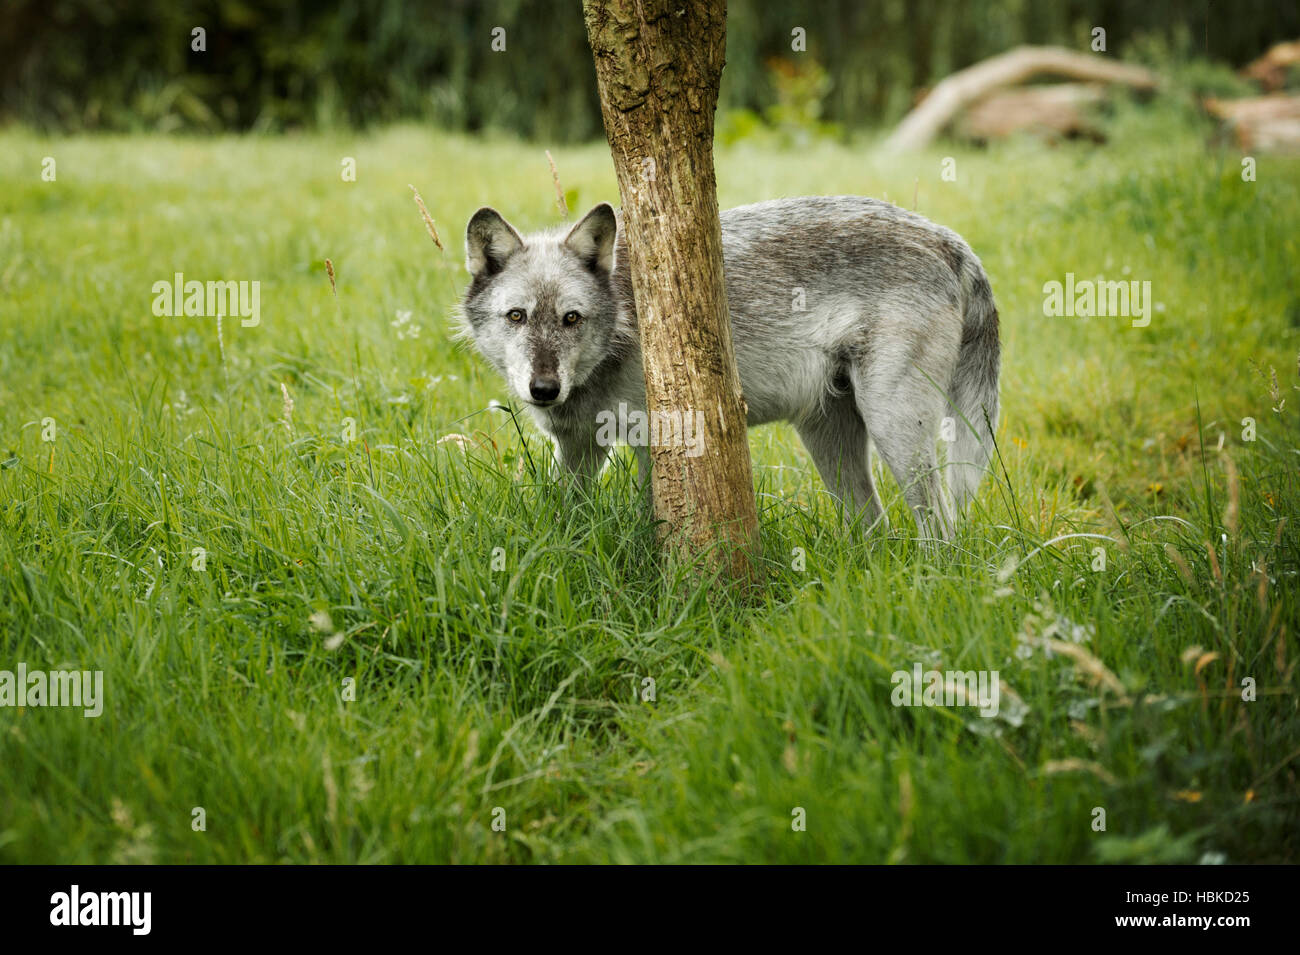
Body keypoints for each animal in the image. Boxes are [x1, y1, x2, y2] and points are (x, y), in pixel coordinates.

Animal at [459, 196, 1000, 540]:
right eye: (517, 316)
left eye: (571, 318)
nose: (544, 389)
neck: (627, 319)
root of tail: (953, 242)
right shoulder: (579, 449)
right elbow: (561, 517)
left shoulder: (655, 445)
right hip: (829, 438)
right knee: (876, 529)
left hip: (895, 431)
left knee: (942, 530)